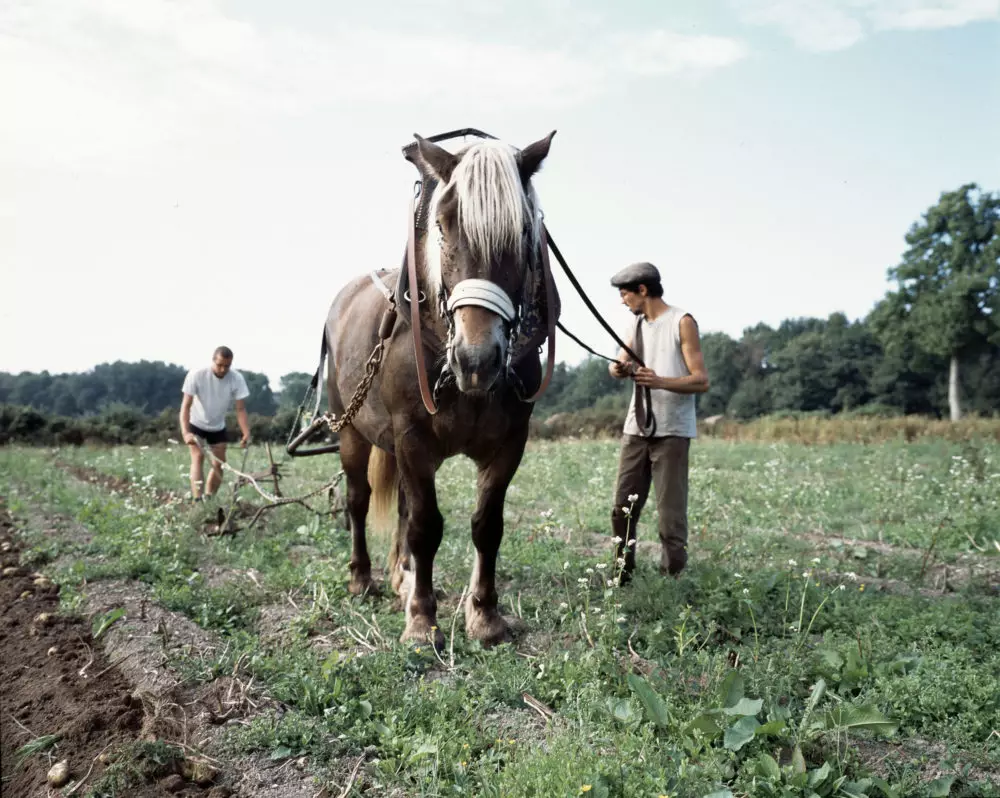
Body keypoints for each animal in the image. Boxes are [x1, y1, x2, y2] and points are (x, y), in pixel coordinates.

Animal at [320, 133, 560, 648]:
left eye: (524, 230)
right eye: (444, 224)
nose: (476, 358)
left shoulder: (511, 441)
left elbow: (486, 525)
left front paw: (484, 615)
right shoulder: (411, 435)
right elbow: (426, 526)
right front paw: (421, 621)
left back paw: (401, 576)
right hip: (350, 430)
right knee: (358, 499)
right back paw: (362, 578)